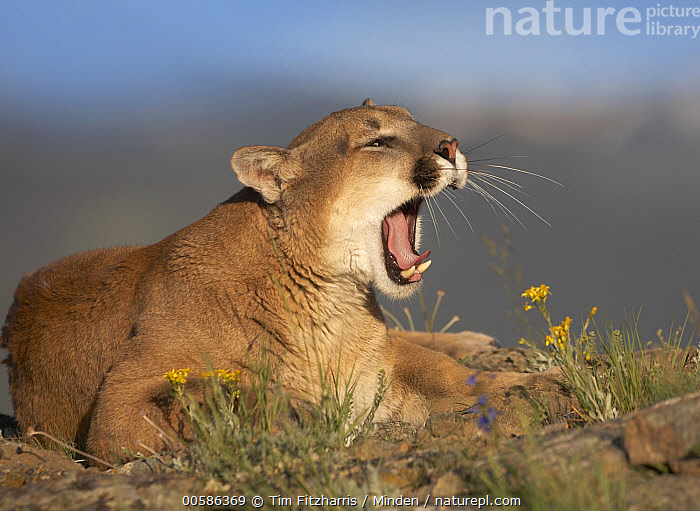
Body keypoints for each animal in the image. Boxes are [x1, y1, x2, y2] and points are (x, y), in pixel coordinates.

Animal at [2, 99, 568, 464]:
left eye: (415, 120)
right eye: (378, 141)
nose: (451, 145)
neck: (332, 300)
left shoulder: (381, 356)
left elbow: (451, 376)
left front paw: (542, 386)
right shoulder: (118, 404)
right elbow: (205, 391)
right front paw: (296, 412)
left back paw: (475, 341)